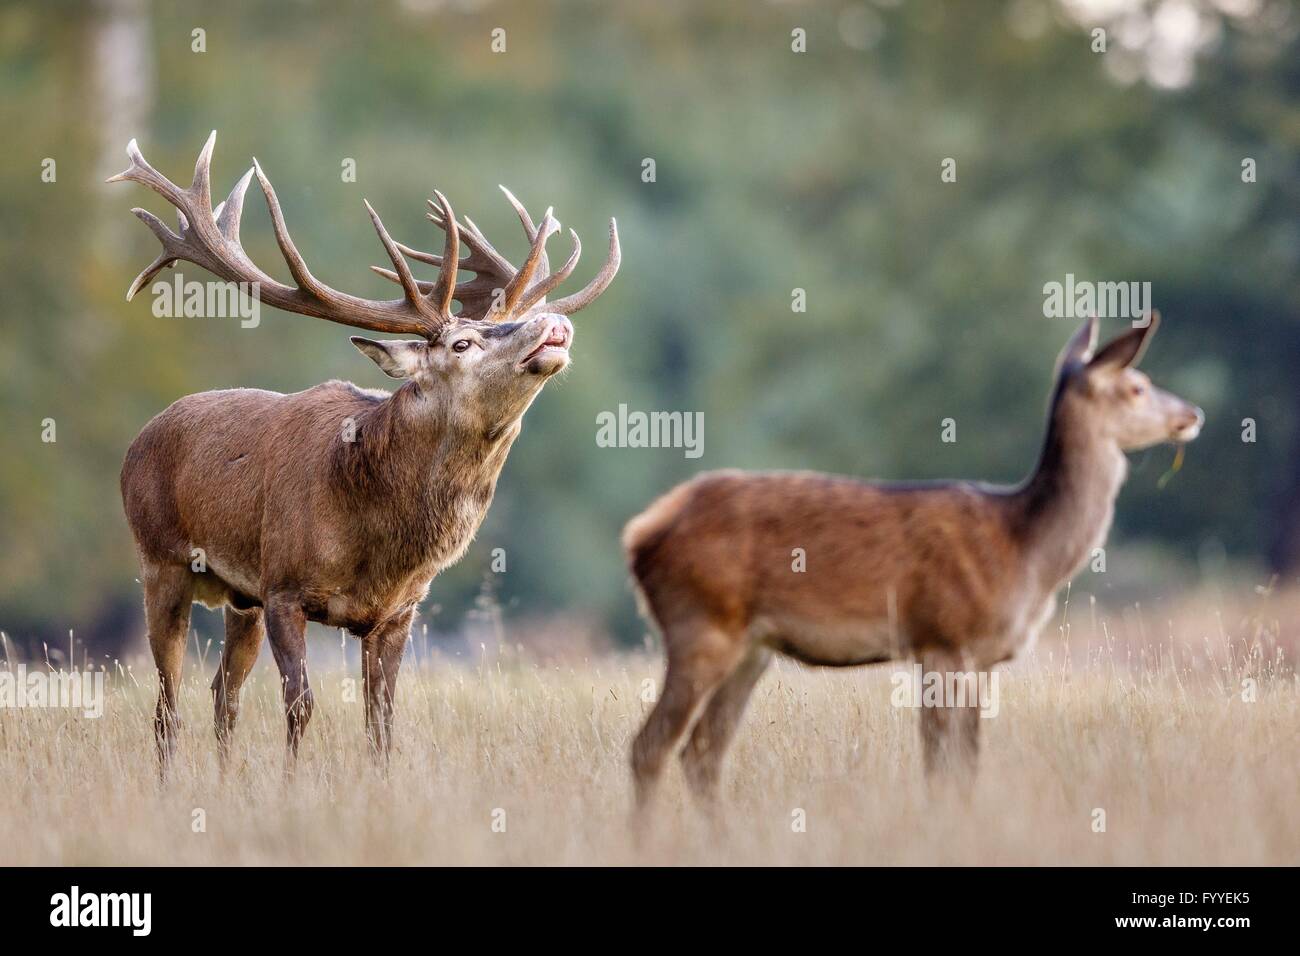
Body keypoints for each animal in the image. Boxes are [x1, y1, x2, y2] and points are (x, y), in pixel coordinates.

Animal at [112, 132, 619, 768]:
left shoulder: (396, 612)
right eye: (462, 342)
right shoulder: (283, 586)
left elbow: (382, 723)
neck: (374, 537)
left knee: (222, 692)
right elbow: (300, 706)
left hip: (238, 598)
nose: (552, 323)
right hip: (160, 562)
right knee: (167, 704)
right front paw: (292, 782)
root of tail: (138, 441)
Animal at [624, 314, 1202, 809]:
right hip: (701, 623)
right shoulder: (943, 635)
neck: (1024, 553)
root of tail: (640, 535)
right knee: (650, 747)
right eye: (1137, 386)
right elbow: (942, 767)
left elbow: (966, 764)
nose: (1191, 414)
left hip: (751, 647)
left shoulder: (976, 657)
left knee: (701, 754)